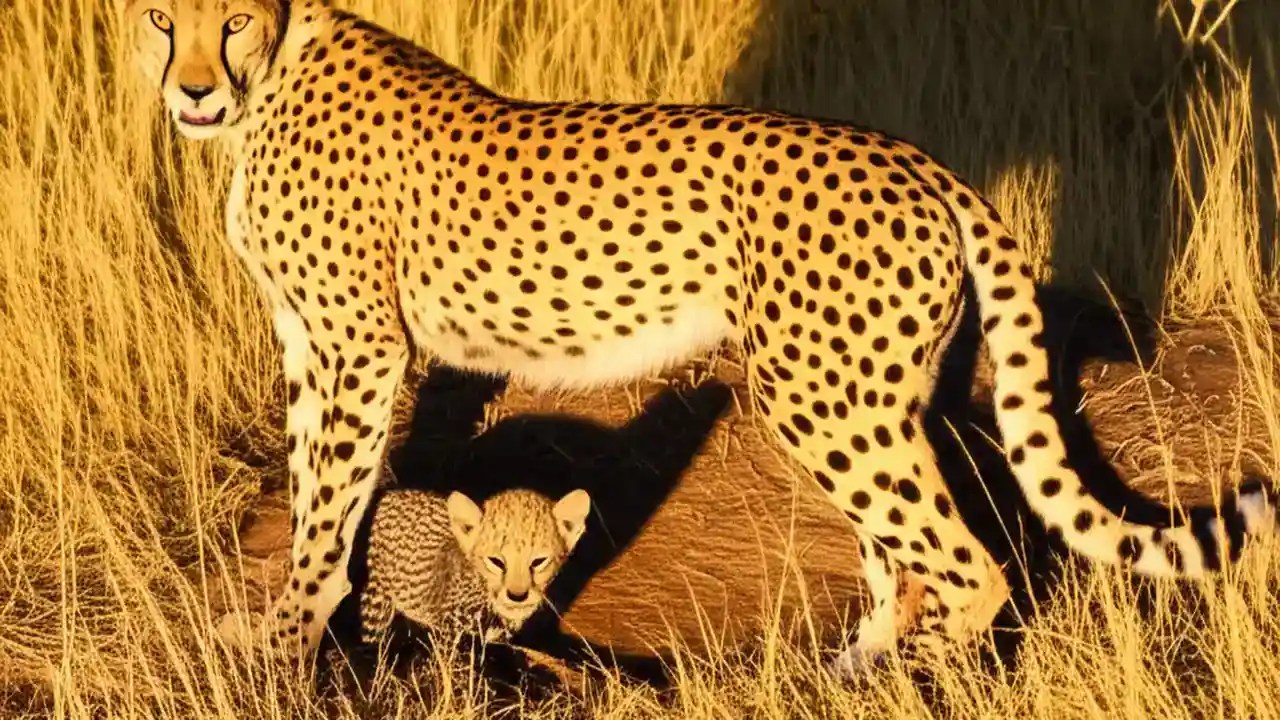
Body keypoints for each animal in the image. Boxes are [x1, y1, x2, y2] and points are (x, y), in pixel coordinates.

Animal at [359, 487, 590, 648]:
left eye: (538, 561)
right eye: (496, 561)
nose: (517, 596)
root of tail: (395, 492)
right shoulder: (450, 639)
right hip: (377, 603)